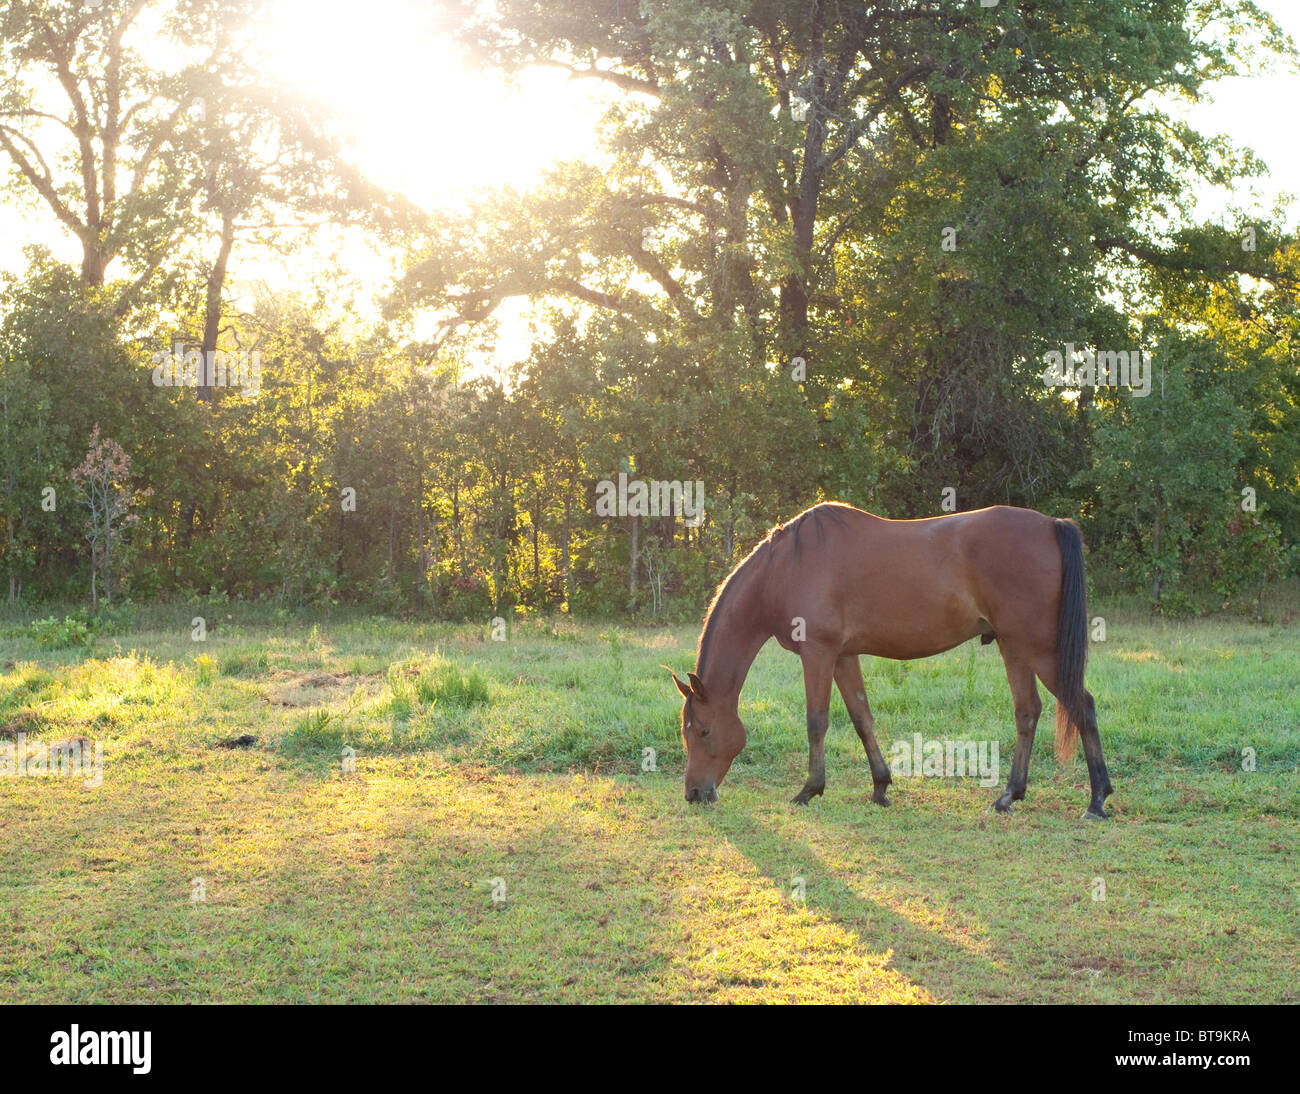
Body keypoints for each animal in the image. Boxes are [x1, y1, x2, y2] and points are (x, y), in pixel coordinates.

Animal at [668, 502, 1113, 819]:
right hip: (1013, 645)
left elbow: (816, 722)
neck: (786, 570)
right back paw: (1009, 796)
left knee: (1083, 705)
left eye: (703, 731)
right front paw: (881, 787)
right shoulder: (844, 656)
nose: (693, 793)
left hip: (1038, 647)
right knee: (1028, 712)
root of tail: (1051, 525)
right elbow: (862, 718)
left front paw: (809, 790)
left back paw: (1096, 801)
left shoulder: (818, 653)